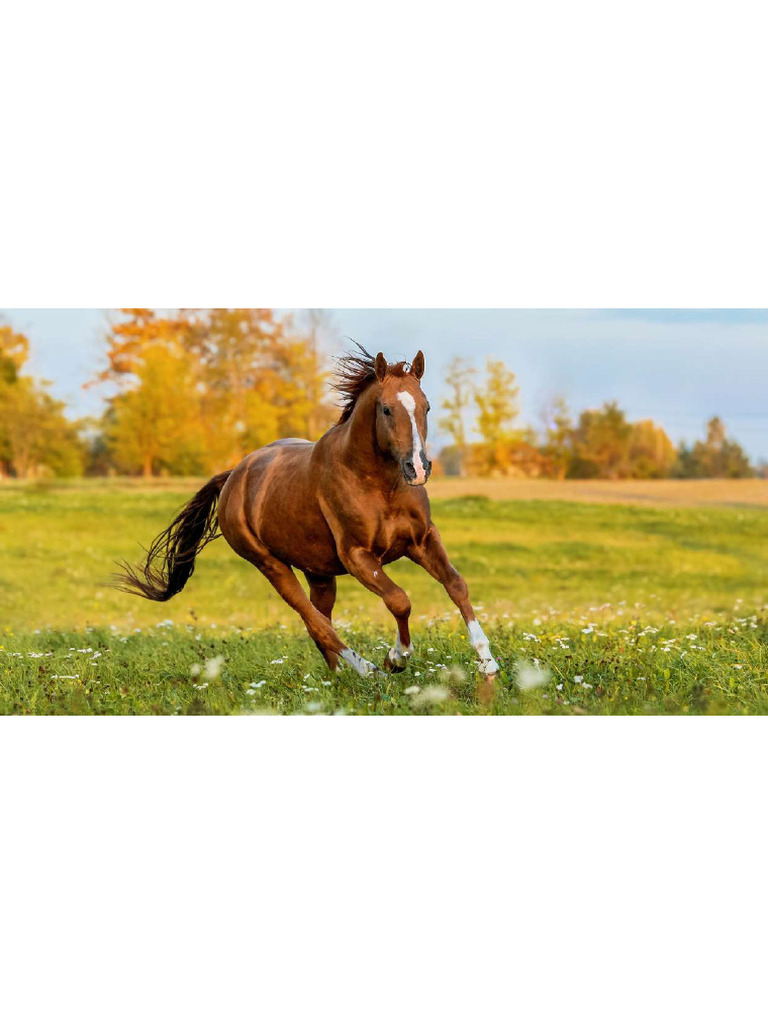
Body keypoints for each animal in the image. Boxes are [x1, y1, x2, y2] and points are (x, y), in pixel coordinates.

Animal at [115, 344, 500, 680]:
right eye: (387, 409)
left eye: (426, 406)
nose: (418, 468)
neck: (379, 485)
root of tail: (234, 476)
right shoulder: (358, 557)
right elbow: (399, 600)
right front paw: (396, 658)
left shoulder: (422, 540)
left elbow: (456, 585)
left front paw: (488, 663)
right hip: (272, 566)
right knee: (315, 622)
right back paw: (369, 671)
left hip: (319, 573)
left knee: (320, 622)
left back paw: (339, 676)